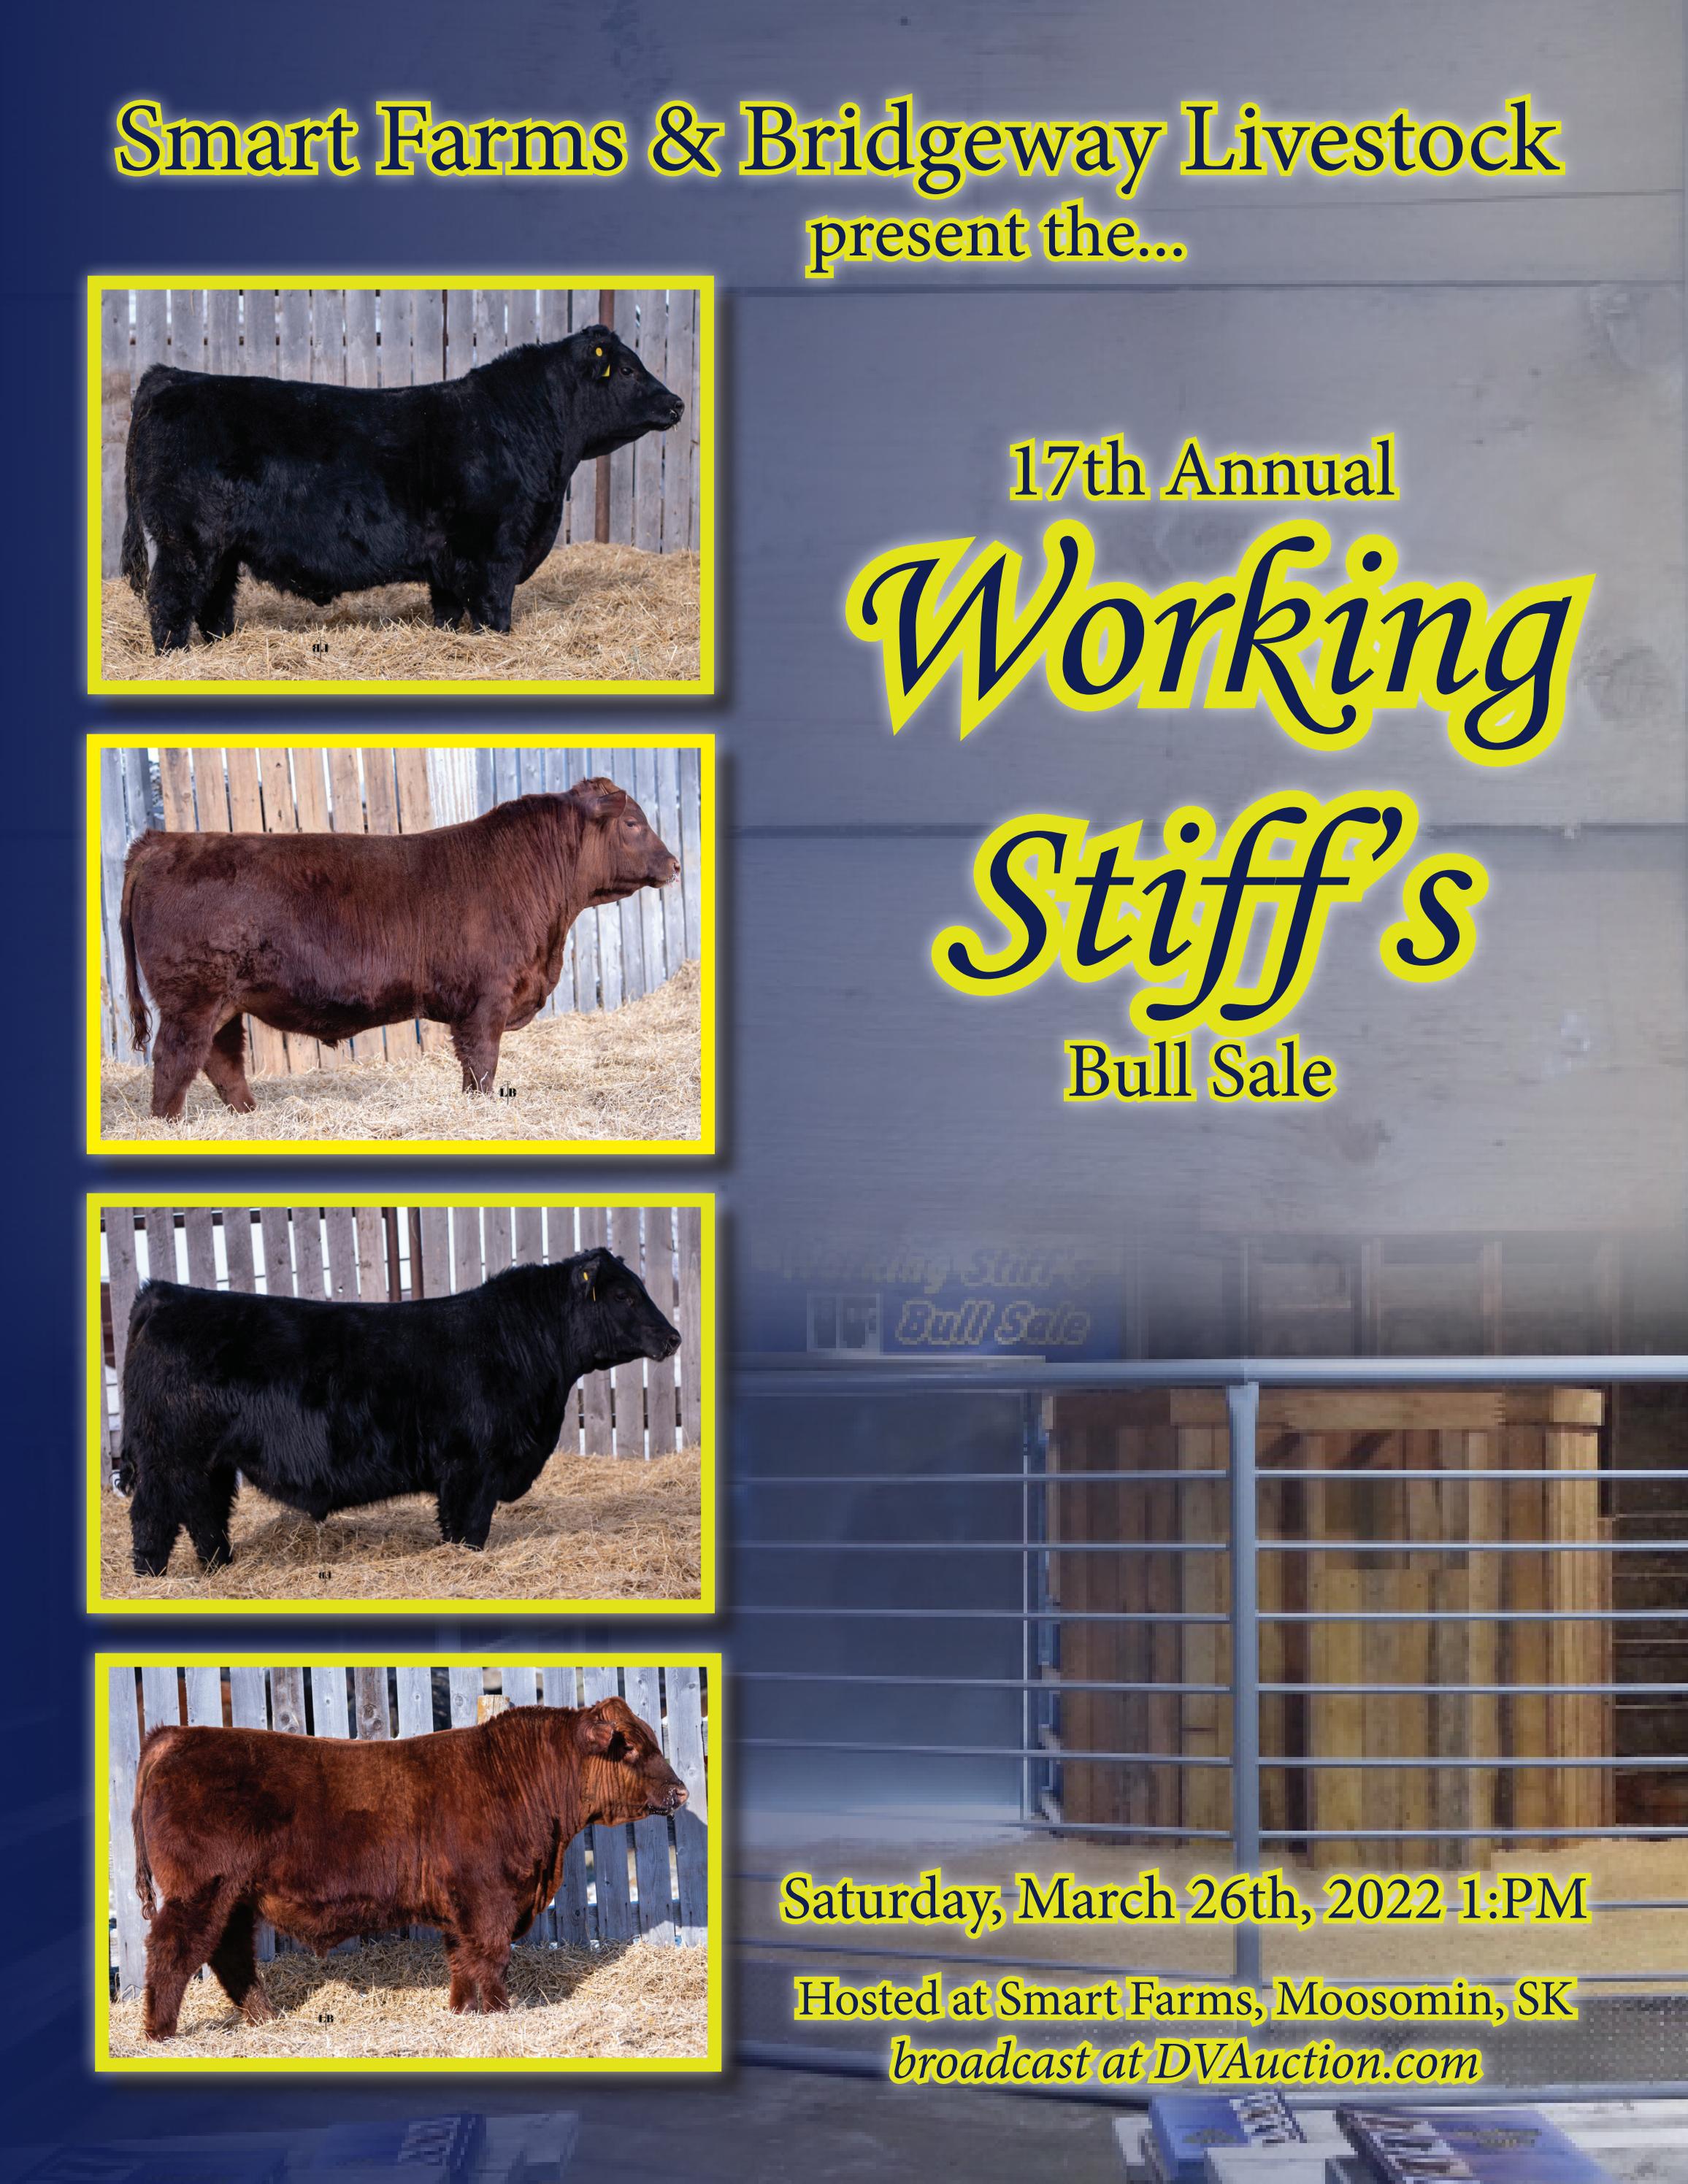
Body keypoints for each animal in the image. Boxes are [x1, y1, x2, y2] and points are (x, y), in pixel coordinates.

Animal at [118, 779, 680, 1117]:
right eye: (633, 823)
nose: (675, 864)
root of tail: (164, 841)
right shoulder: (486, 1002)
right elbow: (482, 1065)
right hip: (192, 997)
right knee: (175, 1061)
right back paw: (169, 1125)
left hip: (223, 1003)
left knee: (222, 1061)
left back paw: (249, 1116)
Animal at [118, 1246, 681, 1574]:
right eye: (625, 1296)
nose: (674, 1337)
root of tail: (163, 1294)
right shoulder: (472, 1467)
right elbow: (469, 1530)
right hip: (168, 1456)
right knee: (154, 1515)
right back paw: (152, 1577)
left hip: (206, 1461)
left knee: (204, 1512)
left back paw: (220, 1568)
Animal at [120, 323, 685, 651]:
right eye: (628, 369)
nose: (678, 403)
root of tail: (171, 377)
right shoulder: (493, 548)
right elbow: (493, 609)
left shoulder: (451, 557)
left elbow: (449, 609)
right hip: (186, 538)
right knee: (171, 599)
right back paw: (175, 655)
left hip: (222, 546)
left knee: (214, 600)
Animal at [130, 1695, 690, 2039]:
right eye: (631, 1747)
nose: (682, 1791)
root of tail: (175, 1736)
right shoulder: (489, 1900)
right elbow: (490, 1958)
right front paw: (499, 2013)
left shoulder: (464, 1910)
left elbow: (463, 1961)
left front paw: (463, 2012)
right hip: (201, 1891)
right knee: (172, 1951)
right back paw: (160, 2034)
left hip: (234, 1898)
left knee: (230, 1955)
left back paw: (264, 2018)